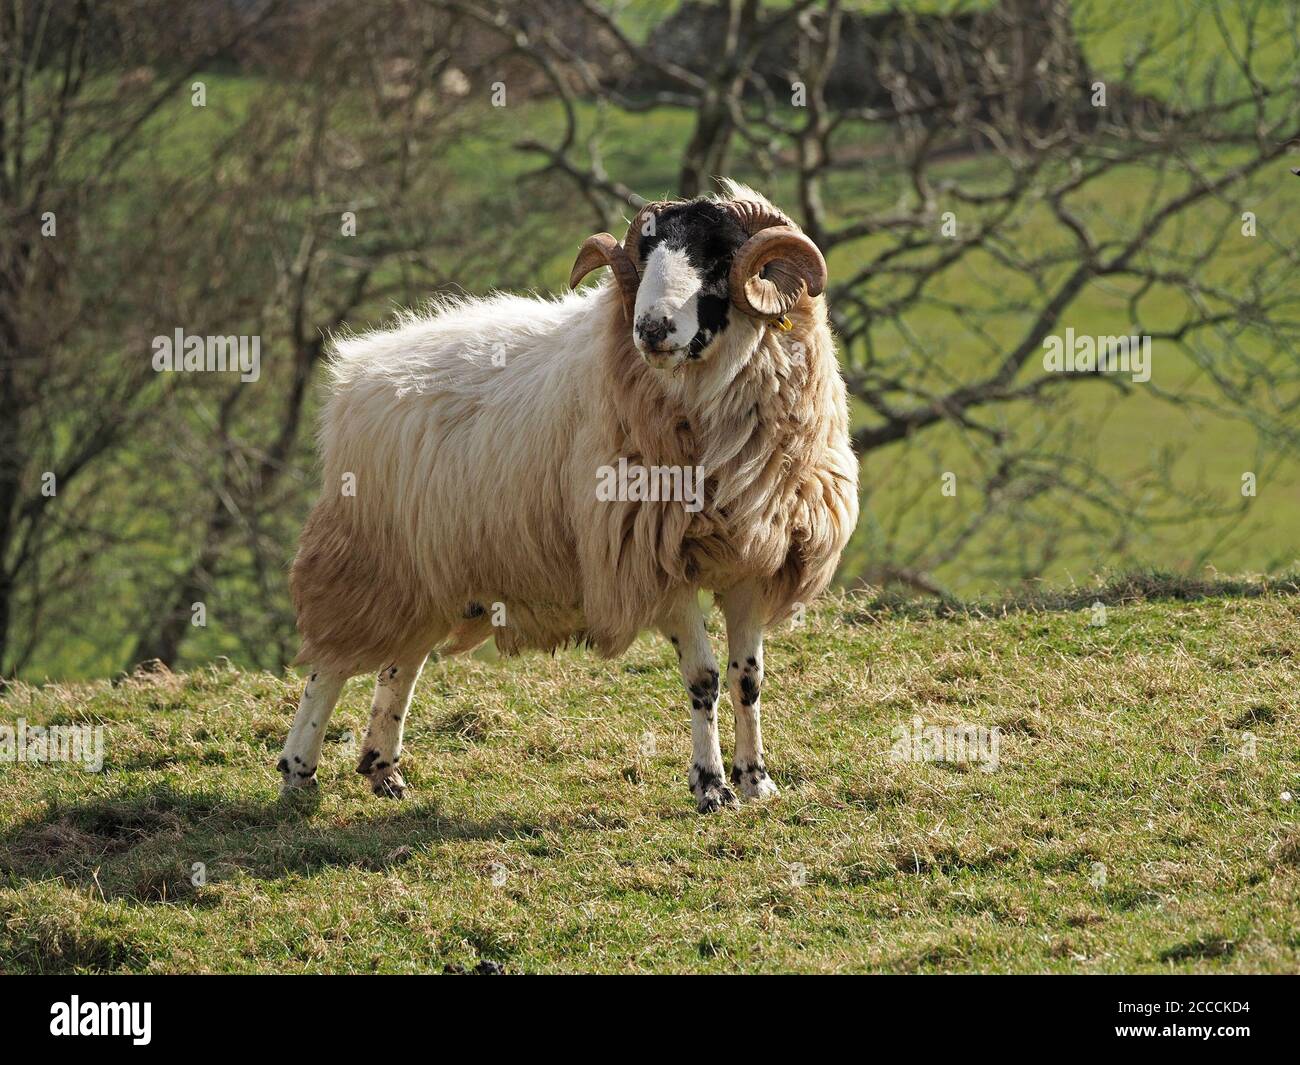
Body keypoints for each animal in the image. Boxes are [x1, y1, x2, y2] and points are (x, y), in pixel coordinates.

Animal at [277, 180, 859, 812]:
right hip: (368, 561)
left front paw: (756, 782)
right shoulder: (655, 563)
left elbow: (745, 678)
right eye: (645, 253)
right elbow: (702, 679)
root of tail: (358, 367)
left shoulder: (754, 560)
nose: (650, 329)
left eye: (718, 254)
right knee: (328, 668)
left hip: (430, 572)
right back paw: (297, 773)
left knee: (399, 665)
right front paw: (710, 788)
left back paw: (383, 771)